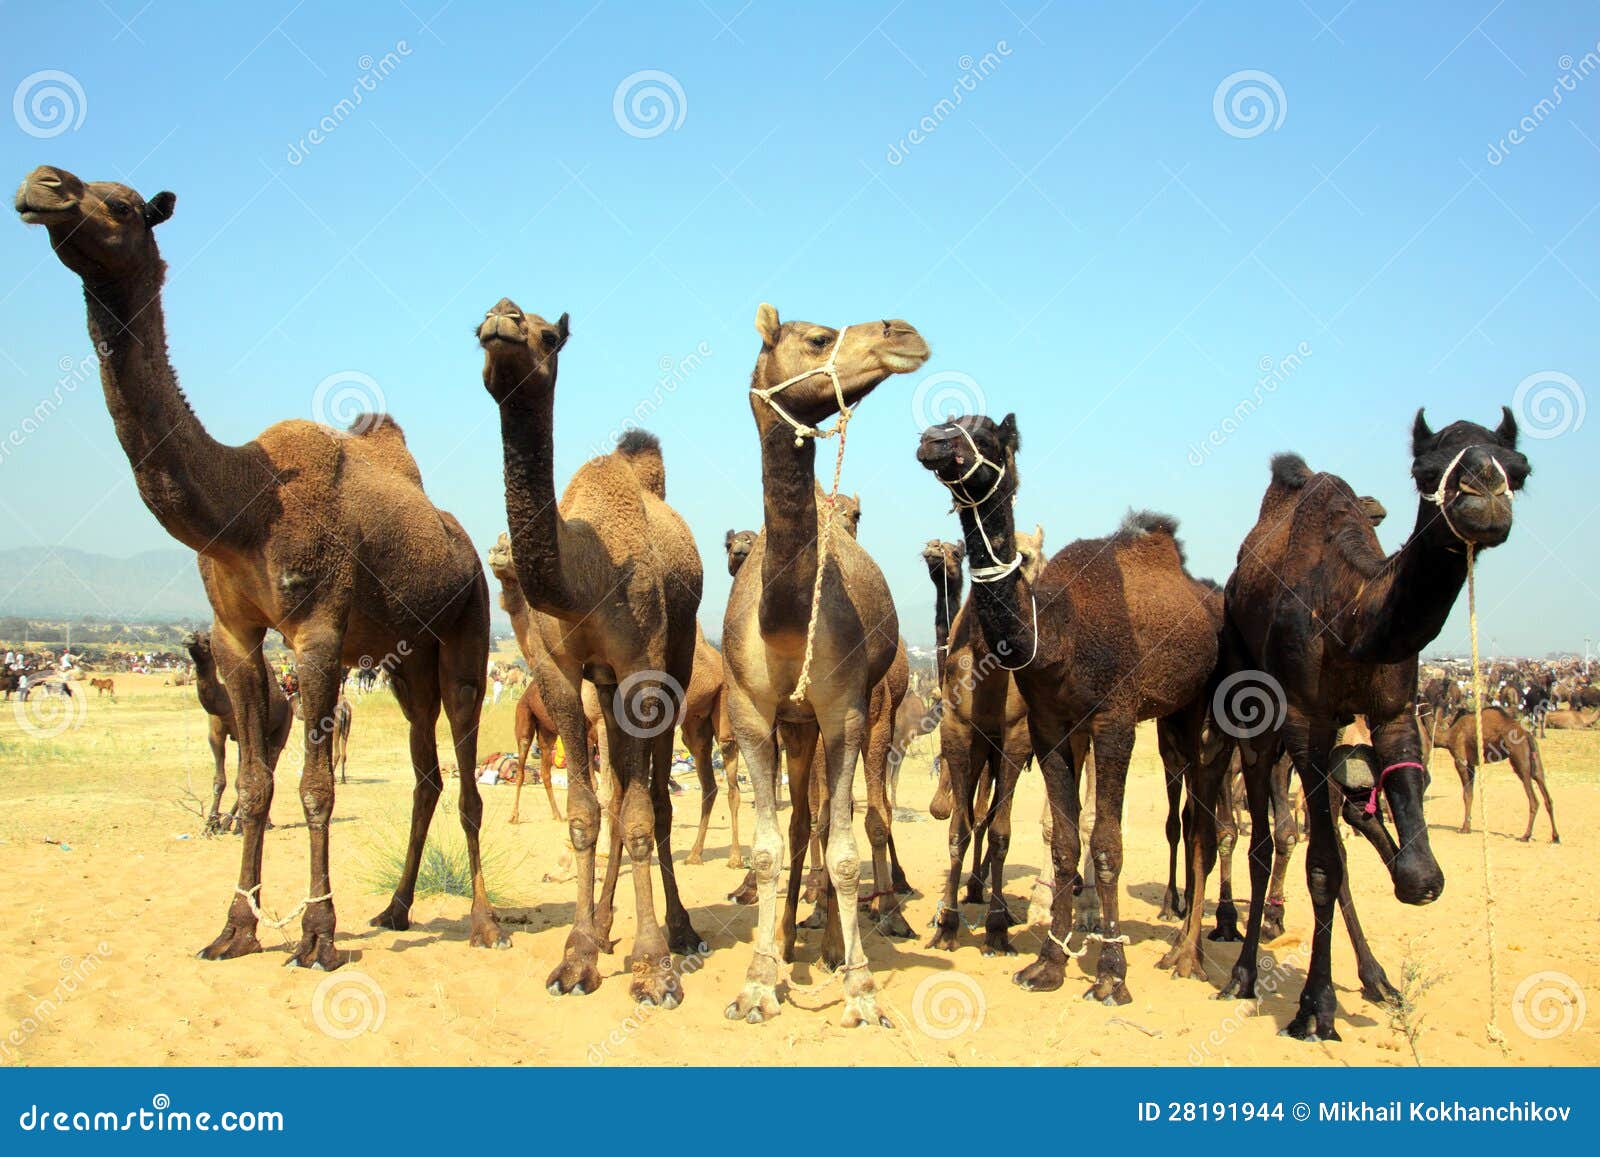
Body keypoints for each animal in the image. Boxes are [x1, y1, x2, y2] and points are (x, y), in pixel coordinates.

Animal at [184, 629, 293, 834]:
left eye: (207, 639)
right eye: (193, 633)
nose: (188, 638)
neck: (225, 701)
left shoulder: (243, 735)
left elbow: (240, 780)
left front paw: (239, 825)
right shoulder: (216, 733)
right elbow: (219, 780)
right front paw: (211, 824)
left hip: (282, 730)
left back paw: (250, 822)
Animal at [478, 297, 704, 1007]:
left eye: (549, 336)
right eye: (483, 324)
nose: (501, 319)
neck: (585, 571)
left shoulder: (638, 671)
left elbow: (638, 817)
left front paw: (654, 966)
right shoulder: (560, 674)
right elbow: (586, 812)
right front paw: (578, 953)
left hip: (674, 665)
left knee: (656, 799)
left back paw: (680, 930)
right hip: (603, 690)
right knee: (619, 787)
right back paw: (607, 927)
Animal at [722, 305, 929, 1027]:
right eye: (817, 339)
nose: (904, 332)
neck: (785, 621)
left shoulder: (844, 710)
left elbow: (841, 853)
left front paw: (861, 987)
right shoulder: (753, 712)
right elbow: (768, 847)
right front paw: (759, 980)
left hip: (840, 720)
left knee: (840, 819)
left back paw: (836, 941)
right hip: (794, 724)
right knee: (798, 822)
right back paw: (787, 937)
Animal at [1203, 409, 1528, 1041]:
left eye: (1520, 469)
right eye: (1425, 469)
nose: (1485, 491)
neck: (1349, 612)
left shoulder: (1393, 711)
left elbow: (1401, 864)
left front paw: (1376, 975)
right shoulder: (1305, 720)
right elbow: (1322, 866)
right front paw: (1316, 1006)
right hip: (1252, 712)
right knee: (1260, 840)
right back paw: (1244, 973)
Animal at [1426, 705, 1558, 842]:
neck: (1448, 735)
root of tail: (1527, 735)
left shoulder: (1461, 761)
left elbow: (1466, 795)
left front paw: (1464, 829)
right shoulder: (1471, 765)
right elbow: (1470, 795)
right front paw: (1467, 827)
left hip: (1519, 760)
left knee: (1533, 799)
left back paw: (1526, 836)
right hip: (1536, 760)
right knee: (1546, 794)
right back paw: (1555, 837)